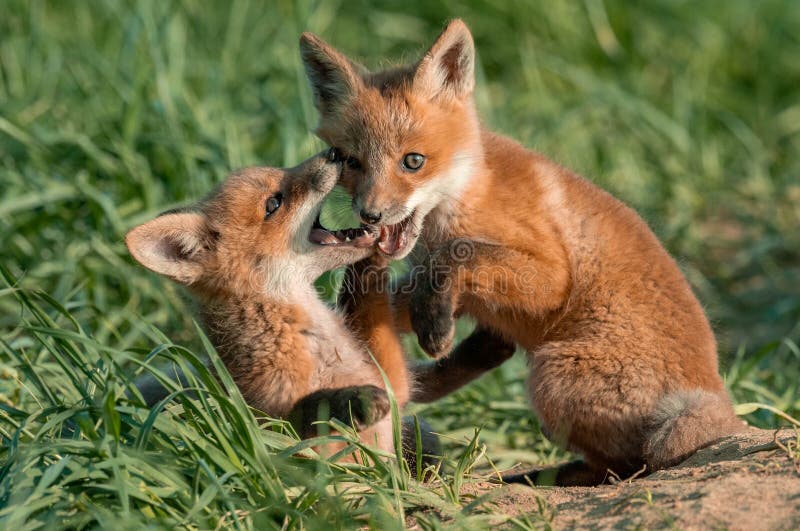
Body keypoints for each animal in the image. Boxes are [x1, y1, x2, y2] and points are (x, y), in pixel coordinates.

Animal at [125, 151, 435, 462]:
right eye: (273, 203)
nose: (335, 153)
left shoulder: (392, 381)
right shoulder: (269, 431)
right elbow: (300, 420)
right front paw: (351, 401)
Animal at [299, 20, 746, 485]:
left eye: (413, 161)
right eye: (350, 161)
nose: (370, 214)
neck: (470, 192)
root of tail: (717, 402)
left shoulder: (550, 277)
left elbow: (457, 255)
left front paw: (433, 330)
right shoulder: (449, 287)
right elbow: (412, 292)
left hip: (554, 373)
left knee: (626, 466)